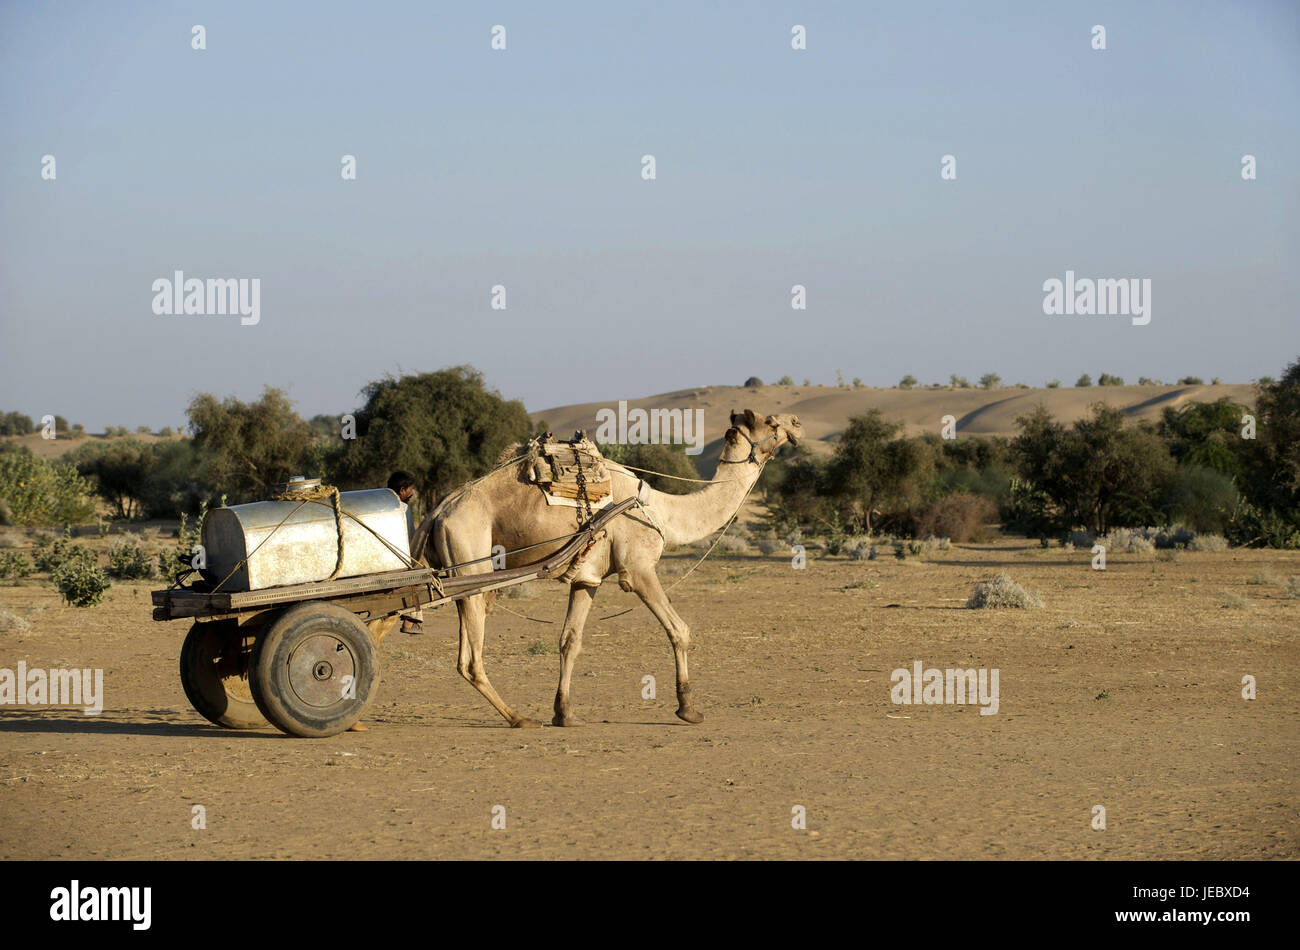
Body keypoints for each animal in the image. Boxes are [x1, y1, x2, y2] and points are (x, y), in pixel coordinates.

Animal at [417, 409, 803, 727]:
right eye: (771, 421)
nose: (797, 424)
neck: (659, 510)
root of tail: (437, 512)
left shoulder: (587, 579)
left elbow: (569, 640)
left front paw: (565, 714)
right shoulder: (639, 569)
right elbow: (680, 630)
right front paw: (688, 709)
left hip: (461, 577)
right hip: (472, 564)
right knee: (471, 660)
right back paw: (518, 718)